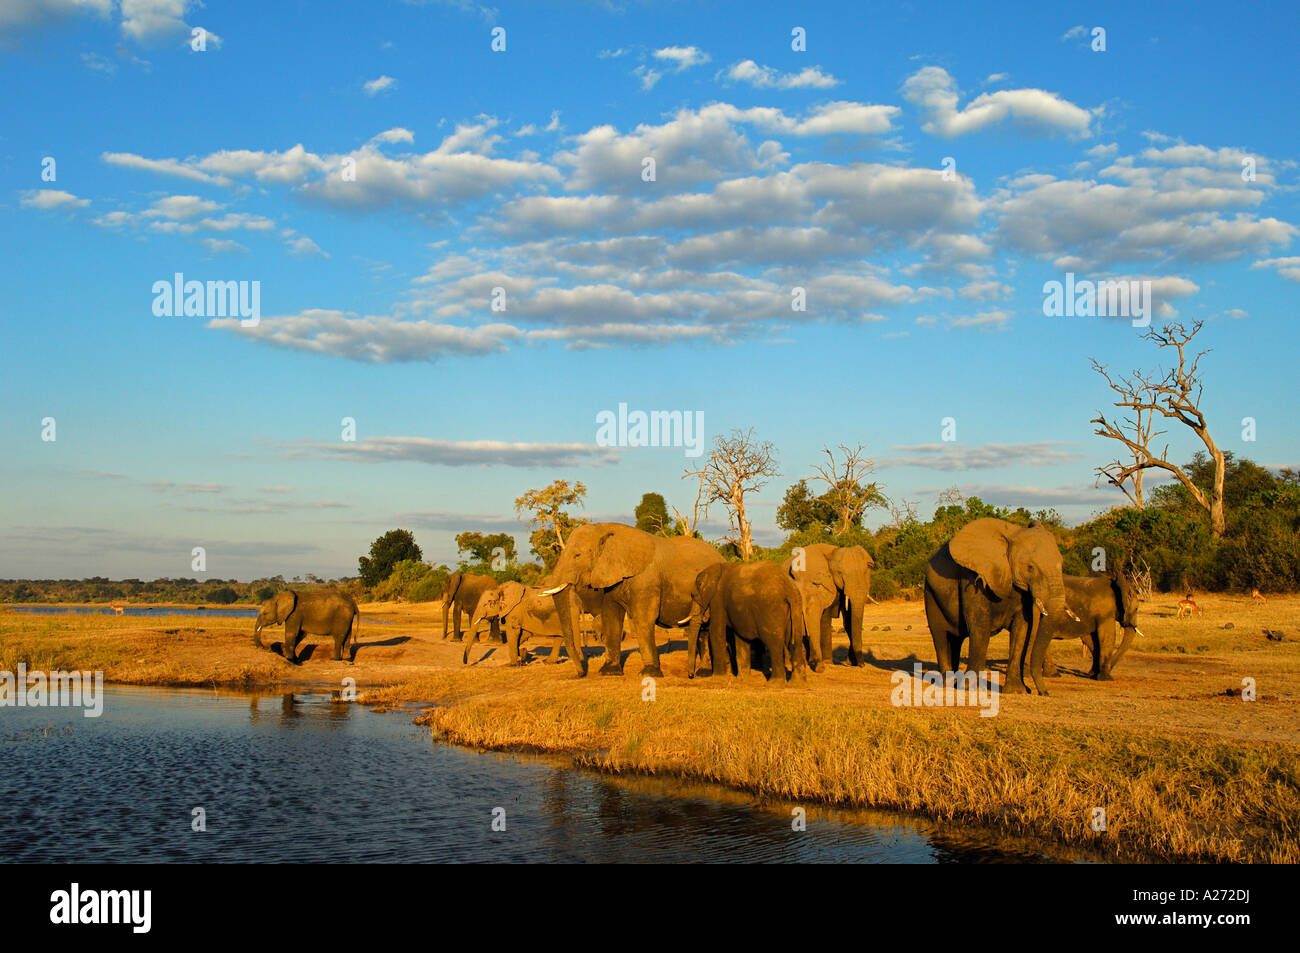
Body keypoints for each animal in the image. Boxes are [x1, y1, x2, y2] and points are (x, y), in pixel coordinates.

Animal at [466, 581, 603, 666]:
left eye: (487, 604)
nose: (466, 662)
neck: (500, 588)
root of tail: (578, 599)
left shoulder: (514, 610)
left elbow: (513, 632)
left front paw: (513, 664)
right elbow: (523, 634)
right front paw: (522, 657)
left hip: (571, 612)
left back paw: (579, 660)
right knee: (560, 636)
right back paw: (548, 662)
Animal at [541, 522, 725, 678]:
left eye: (577, 555)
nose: (581, 674)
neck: (604, 528)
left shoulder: (647, 580)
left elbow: (643, 619)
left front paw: (649, 673)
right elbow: (611, 617)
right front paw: (609, 672)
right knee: (702, 630)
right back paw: (703, 672)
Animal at [923, 518, 1068, 695]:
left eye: (1061, 564)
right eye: (1030, 567)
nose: (1043, 693)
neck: (1012, 535)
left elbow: (1022, 629)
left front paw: (1016, 691)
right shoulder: (972, 577)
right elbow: (980, 626)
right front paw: (969, 688)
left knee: (955, 640)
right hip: (930, 592)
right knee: (940, 635)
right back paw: (947, 683)